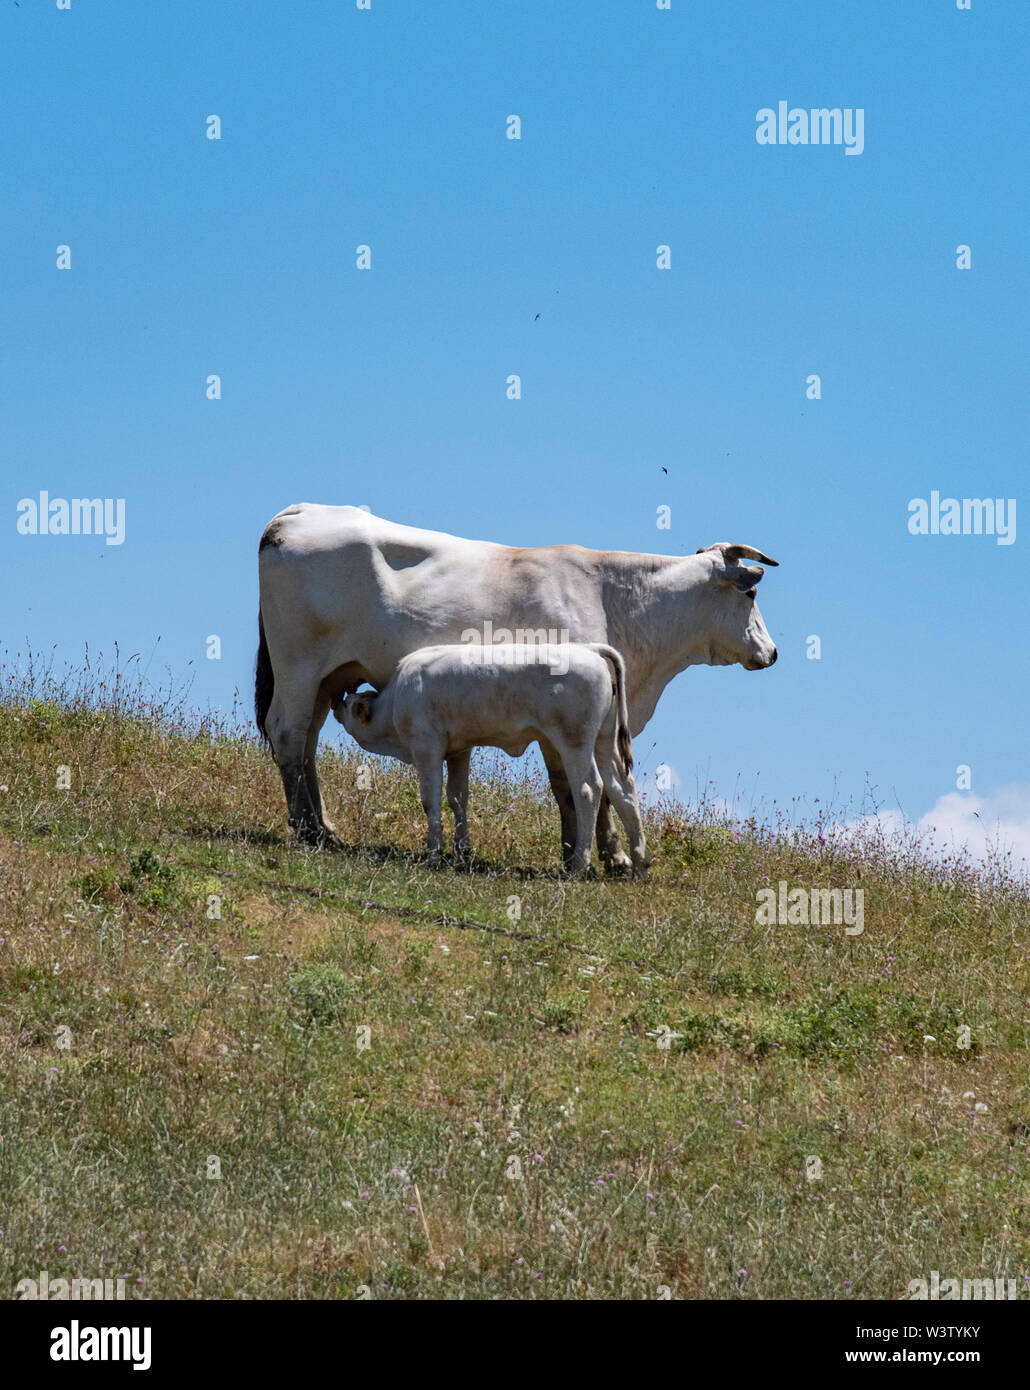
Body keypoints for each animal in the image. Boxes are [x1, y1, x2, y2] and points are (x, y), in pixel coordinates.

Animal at [331, 641, 649, 877]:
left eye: (349, 704)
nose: (336, 703)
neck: (397, 698)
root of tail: (589, 649)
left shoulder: (426, 748)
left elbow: (430, 801)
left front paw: (434, 855)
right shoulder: (459, 750)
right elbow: (457, 796)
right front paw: (462, 852)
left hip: (575, 743)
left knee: (589, 790)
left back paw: (581, 865)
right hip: (604, 741)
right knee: (622, 790)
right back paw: (640, 863)